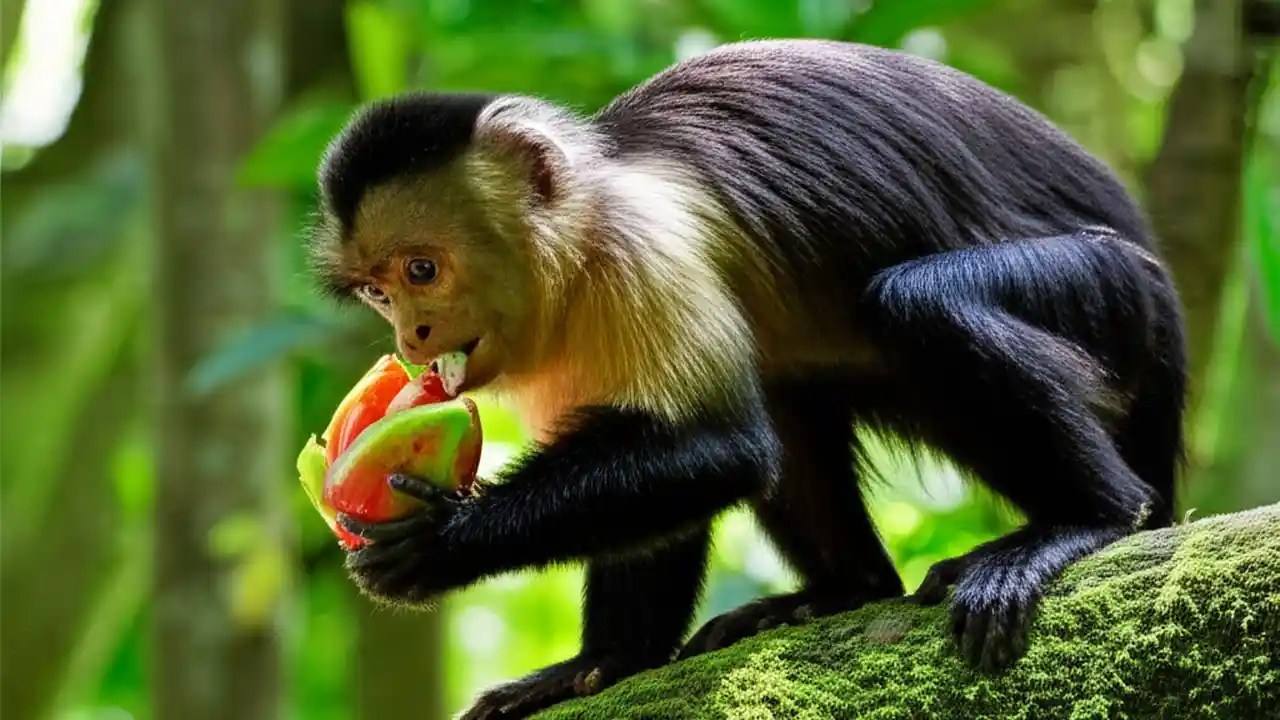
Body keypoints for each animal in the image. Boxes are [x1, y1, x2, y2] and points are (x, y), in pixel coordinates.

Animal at [309, 38, 1187, 720]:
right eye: (378, 292)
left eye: (423, 271)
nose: (411, 339)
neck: (582, 234)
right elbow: (668, 456)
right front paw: (605, 664)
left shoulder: (642, 252)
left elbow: (720, 447)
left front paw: (442, 542)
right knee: (786, 393)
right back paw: (845, 589)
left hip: (1115, 298)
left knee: (920, 303)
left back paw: (1090, 518)